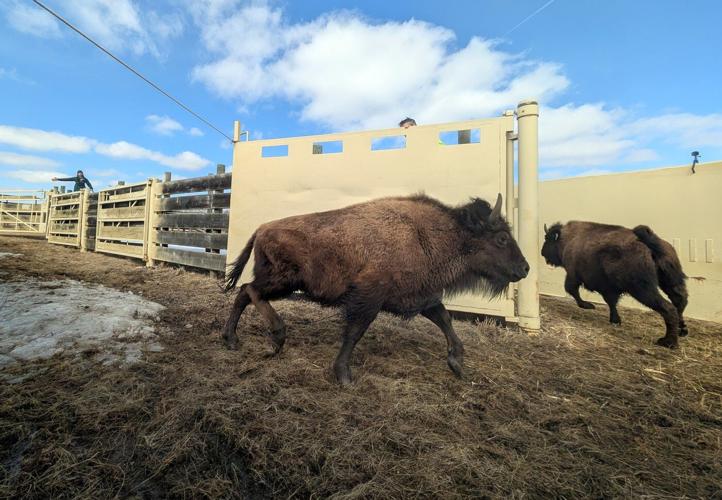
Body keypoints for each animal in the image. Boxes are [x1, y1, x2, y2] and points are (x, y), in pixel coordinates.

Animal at [222, 193, 529, 384]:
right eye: (502, 238)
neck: (425, 235)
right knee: (251, 291)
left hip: (280, 282)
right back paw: (276, 337)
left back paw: (231, 340)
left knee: (243, 293)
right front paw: (344, 376)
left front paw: (457, 364)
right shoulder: (368, 297)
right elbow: (355, 332)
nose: (525, 268)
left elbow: (444, 319)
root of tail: (261, 229)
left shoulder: (420, 297)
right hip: (283, 281)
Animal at [541, 221, 688, 348]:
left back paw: (668, 342)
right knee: (680, 302)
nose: (542, 253)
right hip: (670, 281)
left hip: (643, 290)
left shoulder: (574, 275)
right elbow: (611, 302)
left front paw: (588, 306)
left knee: (668, 308)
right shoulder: (609, 289)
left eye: (548, 238)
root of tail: (650, 245)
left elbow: (572, 290)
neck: (568, 238)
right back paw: (682, 330)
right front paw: (615, 320)